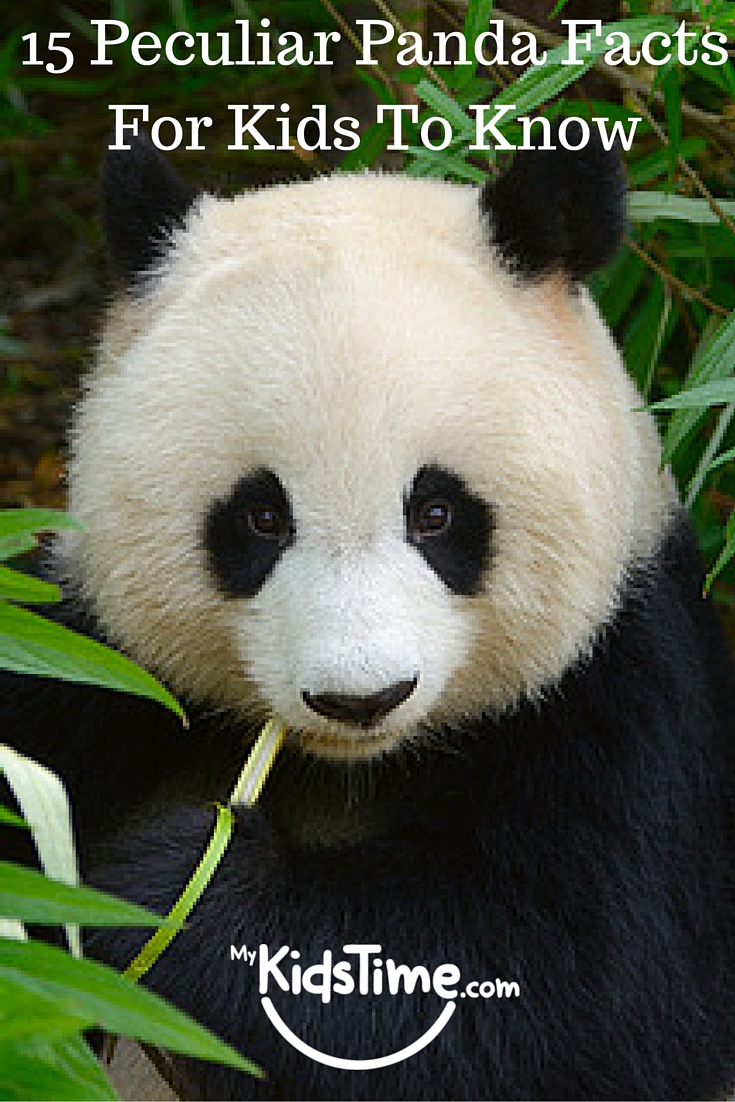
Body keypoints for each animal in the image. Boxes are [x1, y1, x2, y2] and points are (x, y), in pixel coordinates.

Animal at [3, 129, 735, 1101]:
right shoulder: (86, 658)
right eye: (260, 517)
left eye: (437, 513)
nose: (361, 698)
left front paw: (171, 884)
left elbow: (572, 1000)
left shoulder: (625, 694)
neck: (350, 767)